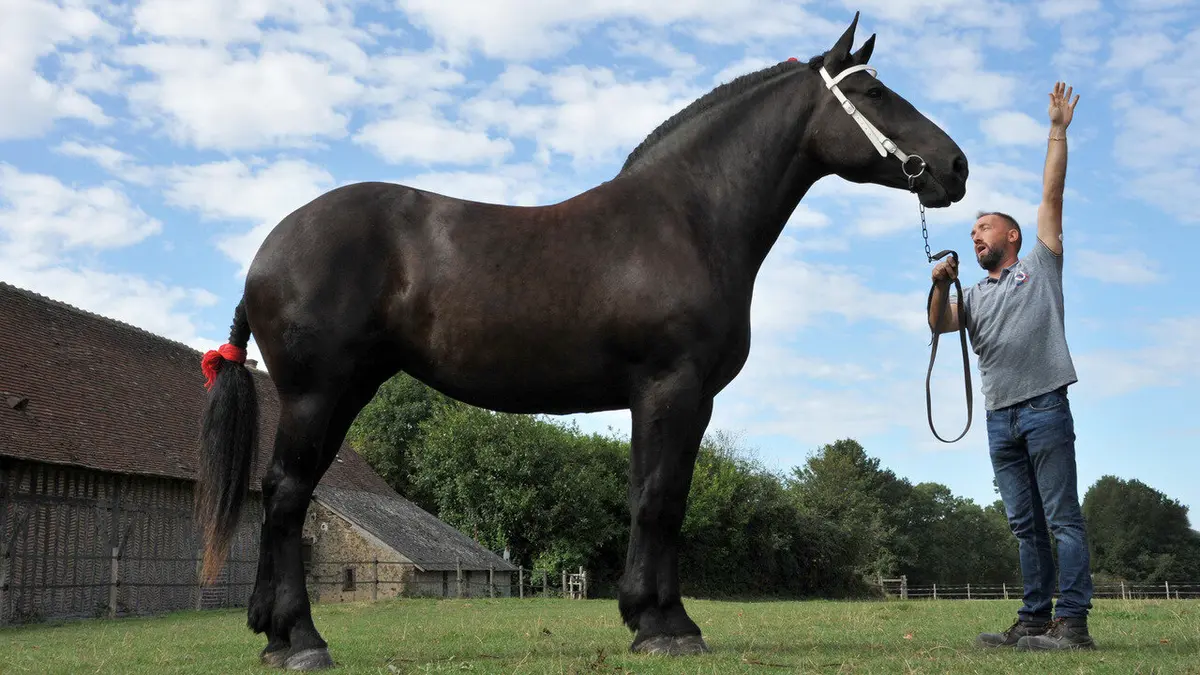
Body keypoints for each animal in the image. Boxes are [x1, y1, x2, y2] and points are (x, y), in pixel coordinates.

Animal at [194, 11, 968, 670]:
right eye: (872, 91)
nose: (955, 167)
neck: (685, 219)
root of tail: (268, 252)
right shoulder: (672, 387)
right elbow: (660, 498)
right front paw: (668, 626)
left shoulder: (673, 399)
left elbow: (657, 494)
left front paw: (648, 617)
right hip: (319, 393)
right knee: (287, 496)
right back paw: (302, 638)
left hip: (339, 392)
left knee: (284, 494)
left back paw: (273, 633)